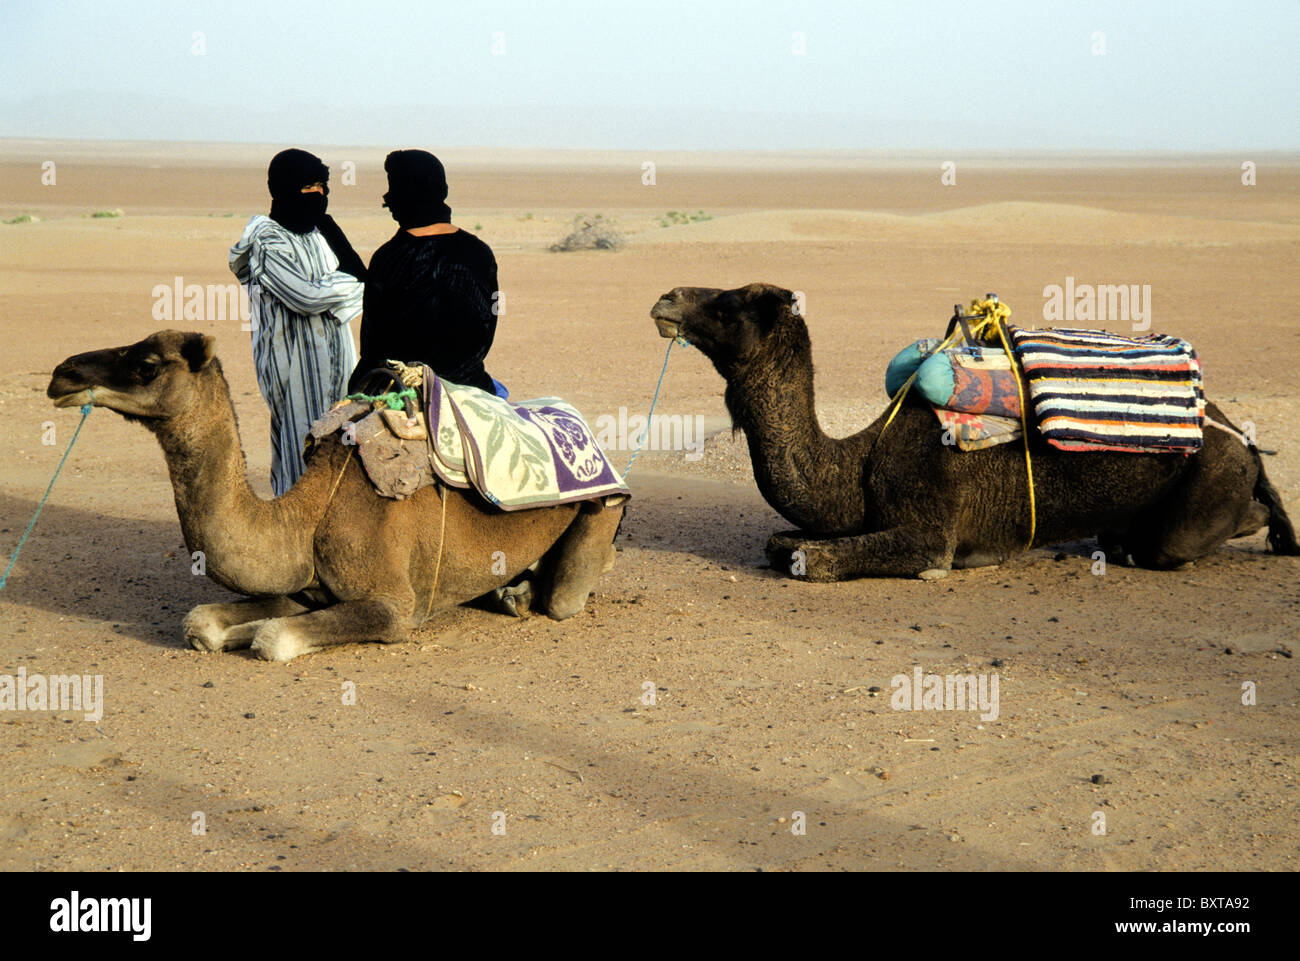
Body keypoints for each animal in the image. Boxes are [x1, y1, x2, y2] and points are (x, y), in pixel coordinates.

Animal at [46, 330, 623, 661]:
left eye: (146, 365)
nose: (61, 373)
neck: (310, 515)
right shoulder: (309, 584)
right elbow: (204, 623)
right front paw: (235, 629)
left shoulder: (394, 607)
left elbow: (273, 639)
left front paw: (259, 633)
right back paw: (509, 592)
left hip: (600, 513)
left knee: (566, 597)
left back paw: (527, 594)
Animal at [651, 283, 1299, 581]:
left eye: (730, 304)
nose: (667, 298)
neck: (858, 463)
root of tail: (1239, 436)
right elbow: (779, 542)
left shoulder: (929, 527)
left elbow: (809, 557)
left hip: (1211, 478)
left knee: (1177, 542)